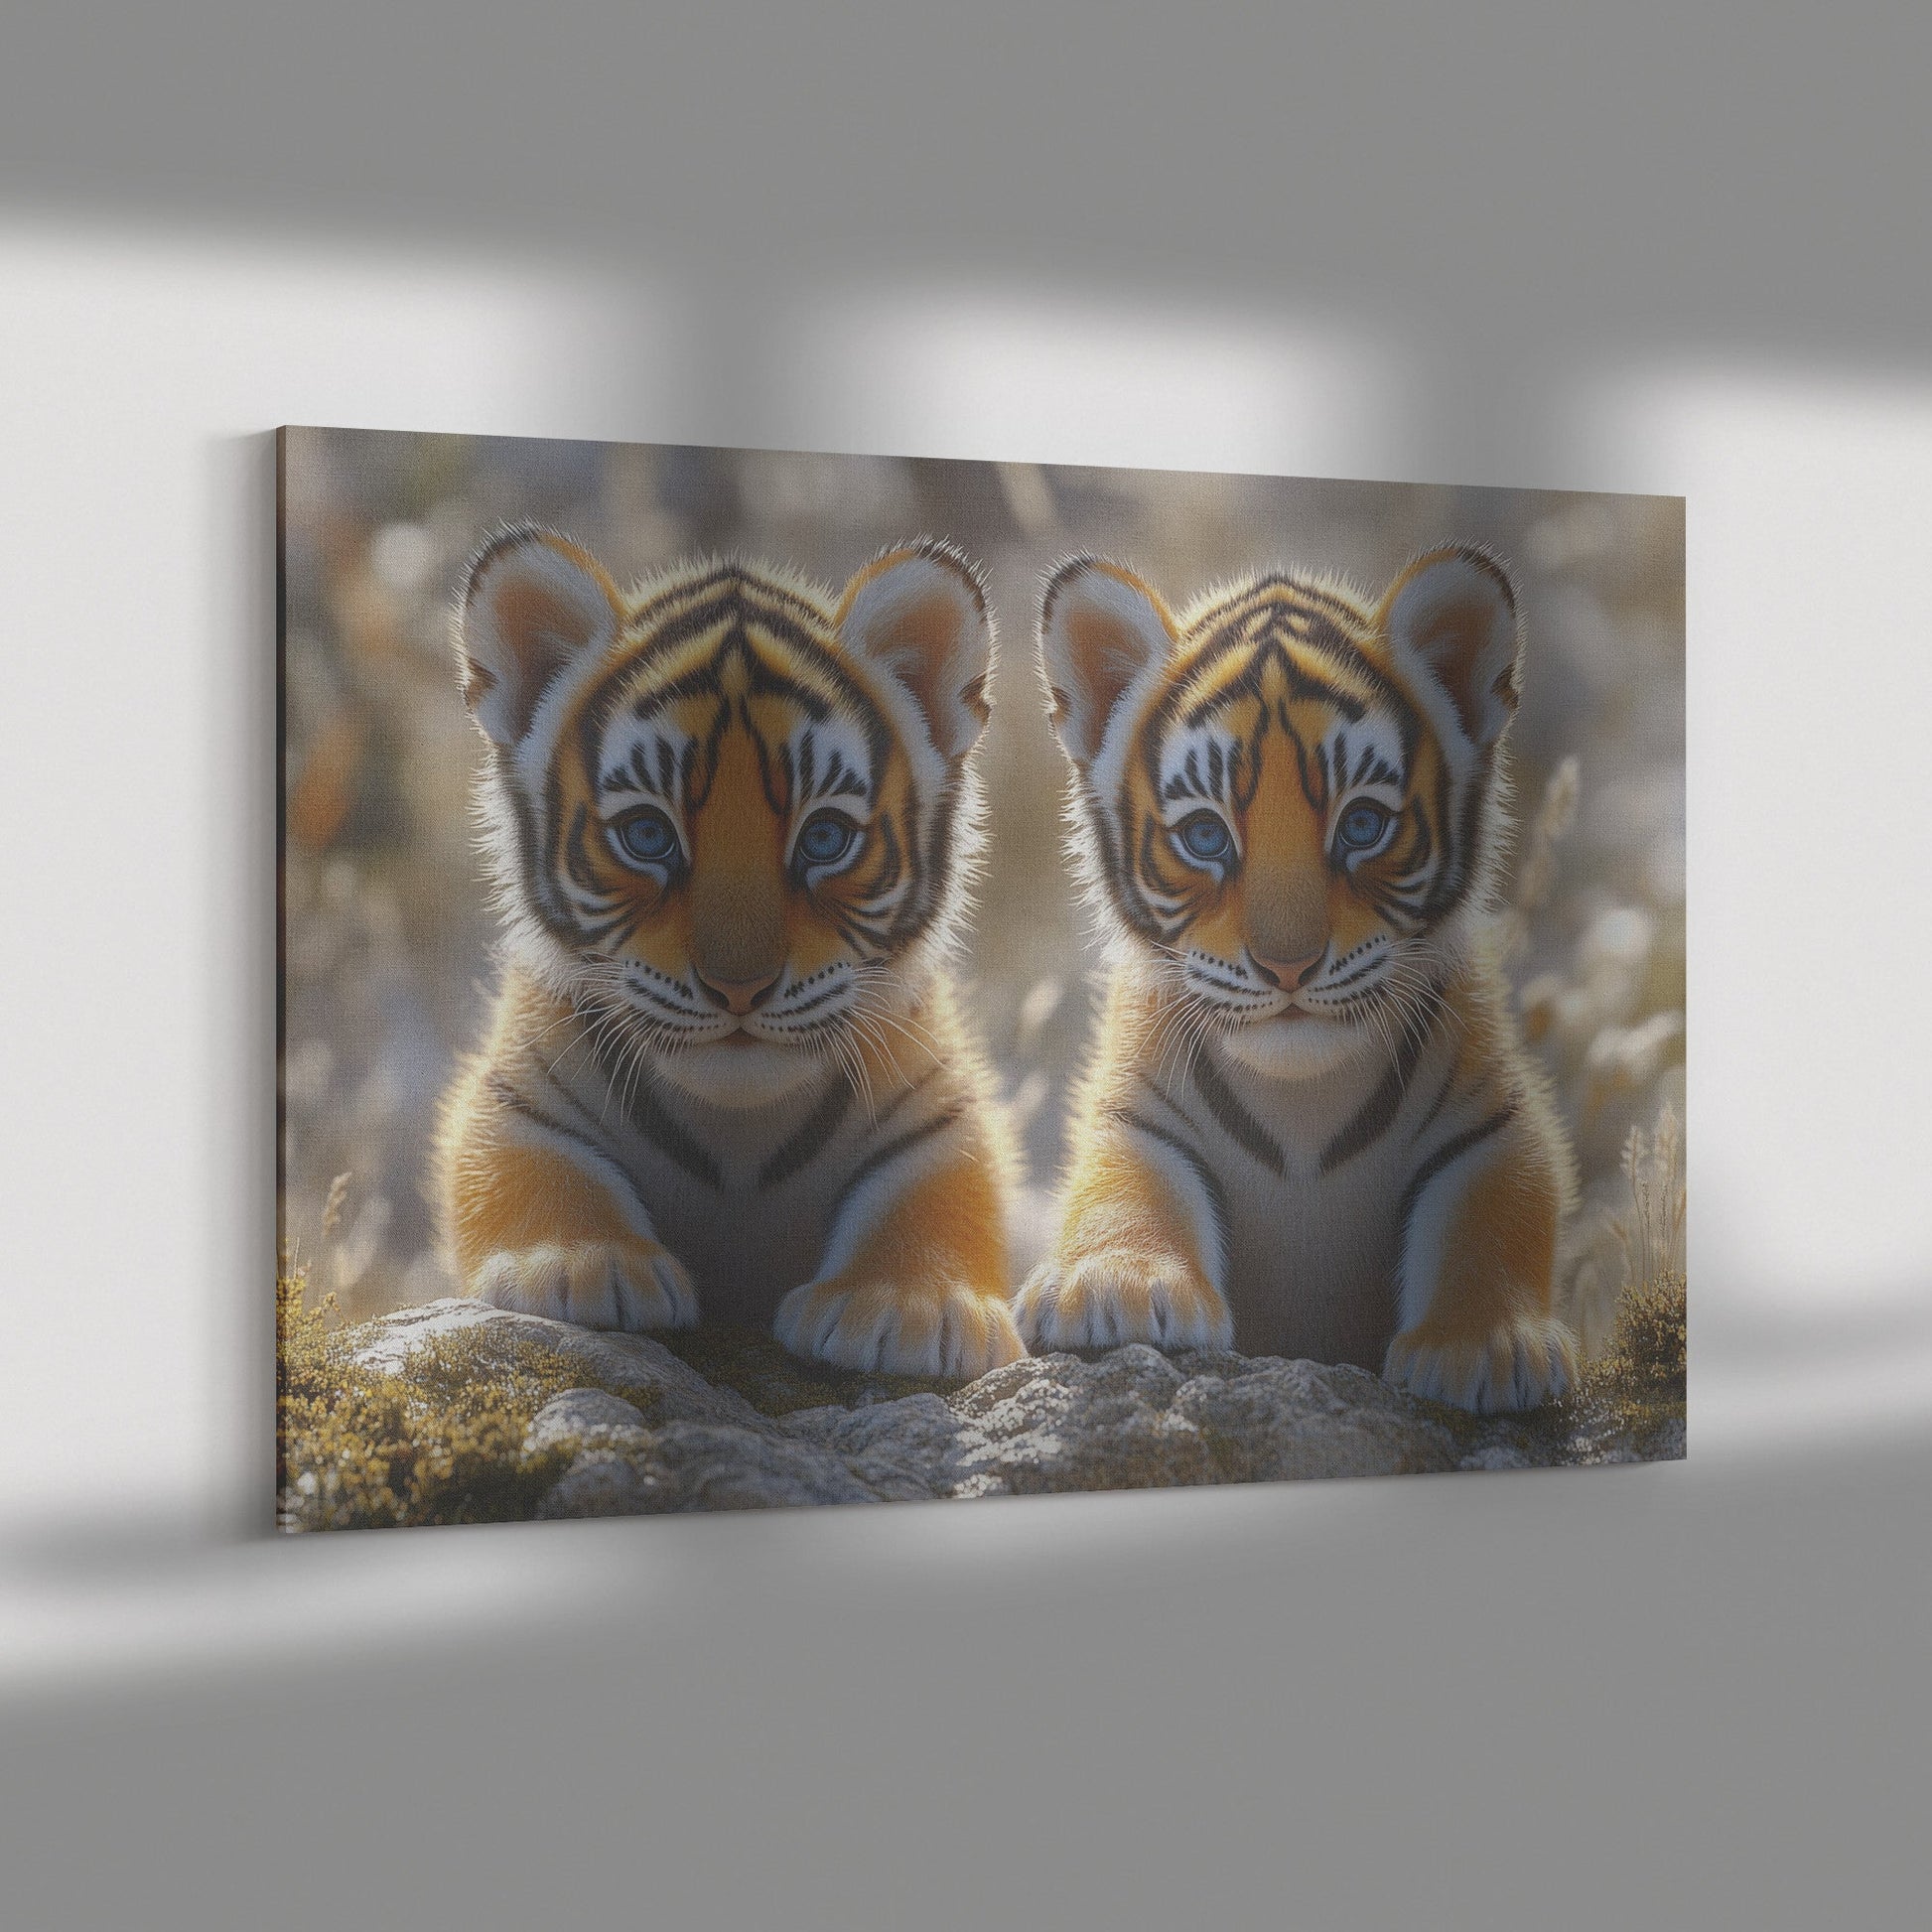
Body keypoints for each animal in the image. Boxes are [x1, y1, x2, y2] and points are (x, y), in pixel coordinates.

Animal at [432, 526, 1023, 1378]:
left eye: (824, 838)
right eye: (647, 834)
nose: (739, 988)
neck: (737, 1134)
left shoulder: (940, 1102)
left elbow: (938, 1190)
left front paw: (908, 1305)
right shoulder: (515, 1092)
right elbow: (531, 1169)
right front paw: (581, 1264)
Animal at [1016, 546, 1579, 1411]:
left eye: (1363, 824)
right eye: (1205, 836)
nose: (1287, 964)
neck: (1302, 1105)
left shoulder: (1492, 1116)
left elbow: (1497, 1207)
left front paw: (1488, 1347)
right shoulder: (1136, 1110)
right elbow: (1126, 1185)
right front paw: (1115, 1287)